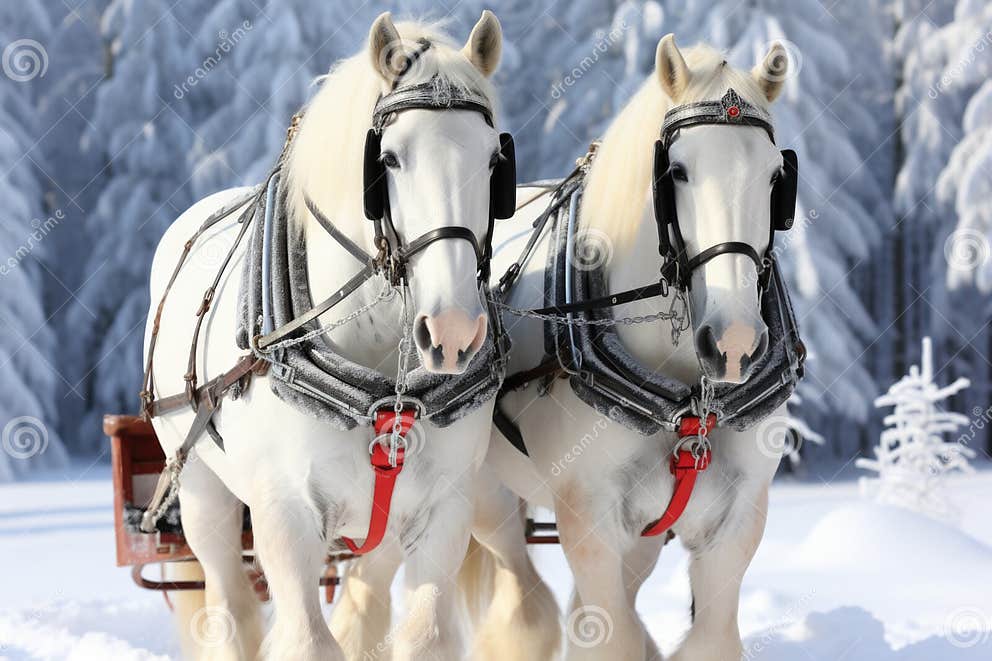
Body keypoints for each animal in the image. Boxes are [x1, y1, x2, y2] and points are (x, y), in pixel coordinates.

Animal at [143, 12, 510, 661]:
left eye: (494, 162)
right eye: (387, 159)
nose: (452, 331)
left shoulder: (443, 510)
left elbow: (422, 637)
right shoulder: (285, 514)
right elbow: (309, 640)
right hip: (203, 494)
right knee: (231, 605)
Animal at [457, 35, 796, 661]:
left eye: (774, 177)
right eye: (677, 172)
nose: (734, 342)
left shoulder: (738, 515)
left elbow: (711, 639)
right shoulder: (589, 517)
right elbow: (606, 634)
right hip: (484, 495)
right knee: (524, 596)